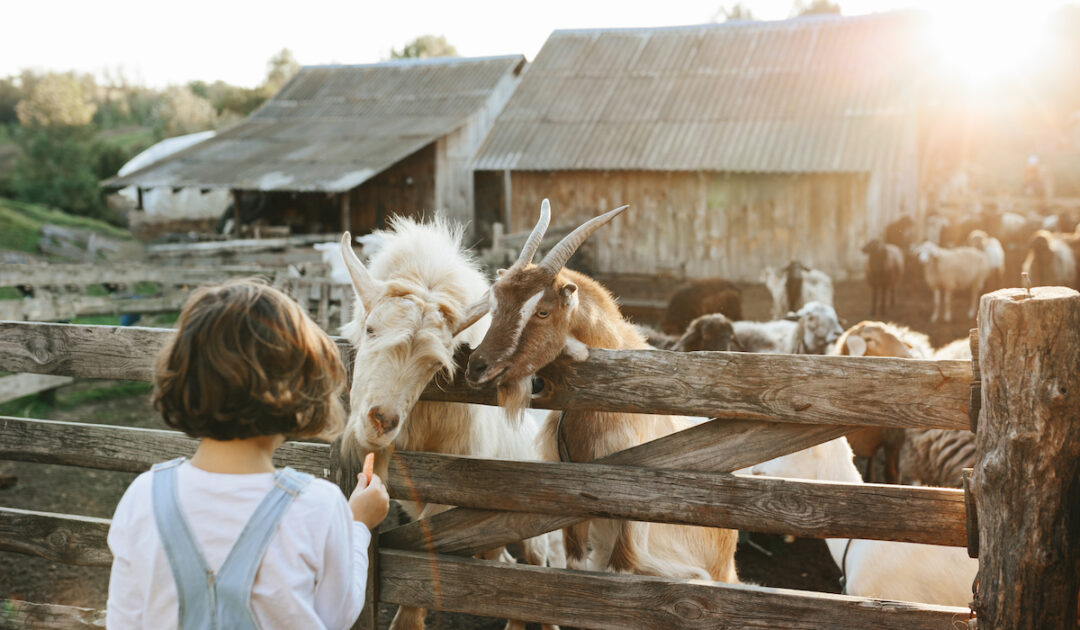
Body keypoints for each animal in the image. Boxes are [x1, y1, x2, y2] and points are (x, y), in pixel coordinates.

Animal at [464, 199, 739, 584]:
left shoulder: (630, 519)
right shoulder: (575, 509)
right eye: (496, 303)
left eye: (543, 311)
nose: (477, 366)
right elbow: (577, 567)